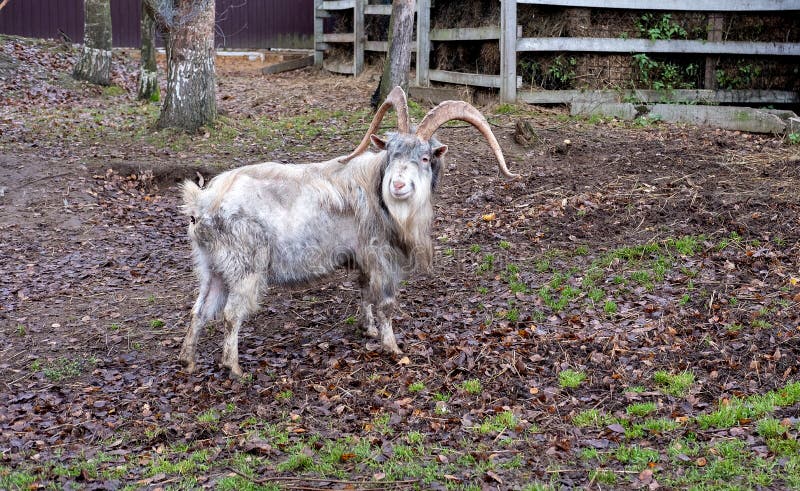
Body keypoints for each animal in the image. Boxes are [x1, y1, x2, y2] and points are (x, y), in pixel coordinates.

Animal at [178, 87, 517, 377]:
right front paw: (393, 347)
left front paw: (368, 329)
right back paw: (234, 368)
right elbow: (385, 302)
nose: (397, 185)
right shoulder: (381, 254)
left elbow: (364, 291)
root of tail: (204, 202)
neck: (375, 186)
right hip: (245, 267)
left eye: (424, 157)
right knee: (231, 313)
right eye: (392, 153)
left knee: (200, 310)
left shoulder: (364, 257)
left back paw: (188, 361)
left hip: (212, 267)